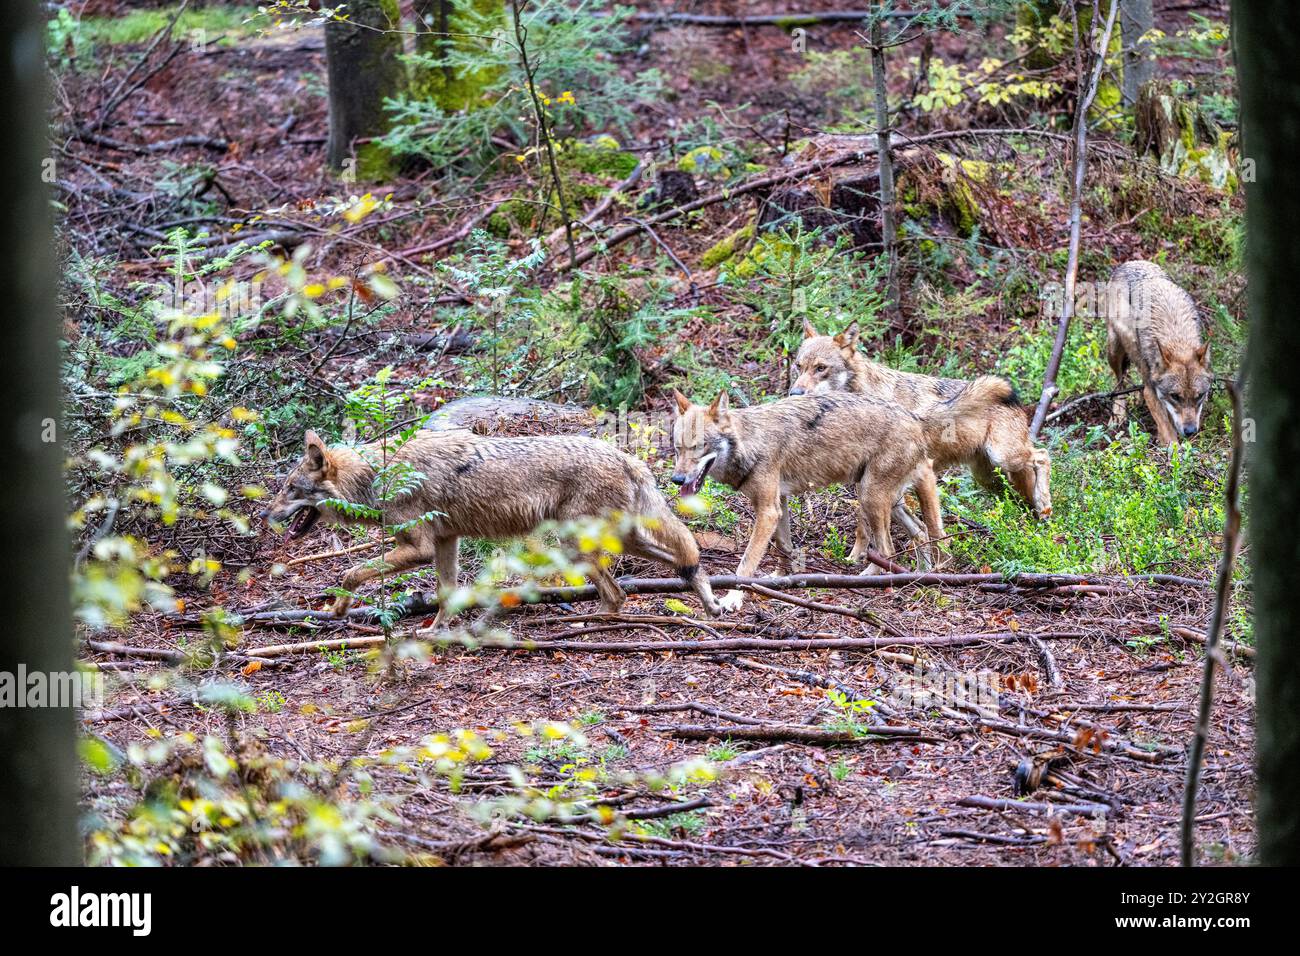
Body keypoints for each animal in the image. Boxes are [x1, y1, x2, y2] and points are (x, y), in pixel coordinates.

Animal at [265, 429, 722, 623]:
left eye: (289, 489)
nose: (266, 517)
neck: (376, 477)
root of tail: (628, 457)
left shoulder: (419, 549)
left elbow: (349, 572)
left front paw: (337, 608)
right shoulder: (446, 543)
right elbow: (446, 596)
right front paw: (435, 634)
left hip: (577, 547)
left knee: (618, 595)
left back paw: (581, 626)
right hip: (621, 541)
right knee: (686, 560)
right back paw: (712, 606)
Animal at [671, 389, 952, 612]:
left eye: (699, 446)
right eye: (677, 448)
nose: (676, 479)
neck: (750, 443)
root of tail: (916, 420)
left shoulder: (767, 511)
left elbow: (745, 564)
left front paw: (733, 598)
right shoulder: (779, 505)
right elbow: (783, 548)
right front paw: (780, 579)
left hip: (870, 497)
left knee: (888, 550)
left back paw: (866, 580)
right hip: (887, 501)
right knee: (921, 533)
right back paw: (920, 577)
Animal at [790, 318, 1052, 519]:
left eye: (821, 368)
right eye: (798, 366)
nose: (794, 393)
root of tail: (1017, 406)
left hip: (1004, 457)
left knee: (1042, 455)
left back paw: (1045, 505)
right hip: (989, 477)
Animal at [1103, 260, 1212, 445]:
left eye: (1199, 396)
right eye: (1175, 396)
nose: (1190, 431)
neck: (1175, 335)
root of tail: (1130, 262)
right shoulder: (1151, 390)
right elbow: (1167, 430)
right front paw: (1172, 448)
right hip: (1114, 350)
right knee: (1119, 381)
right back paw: (1118, 414)